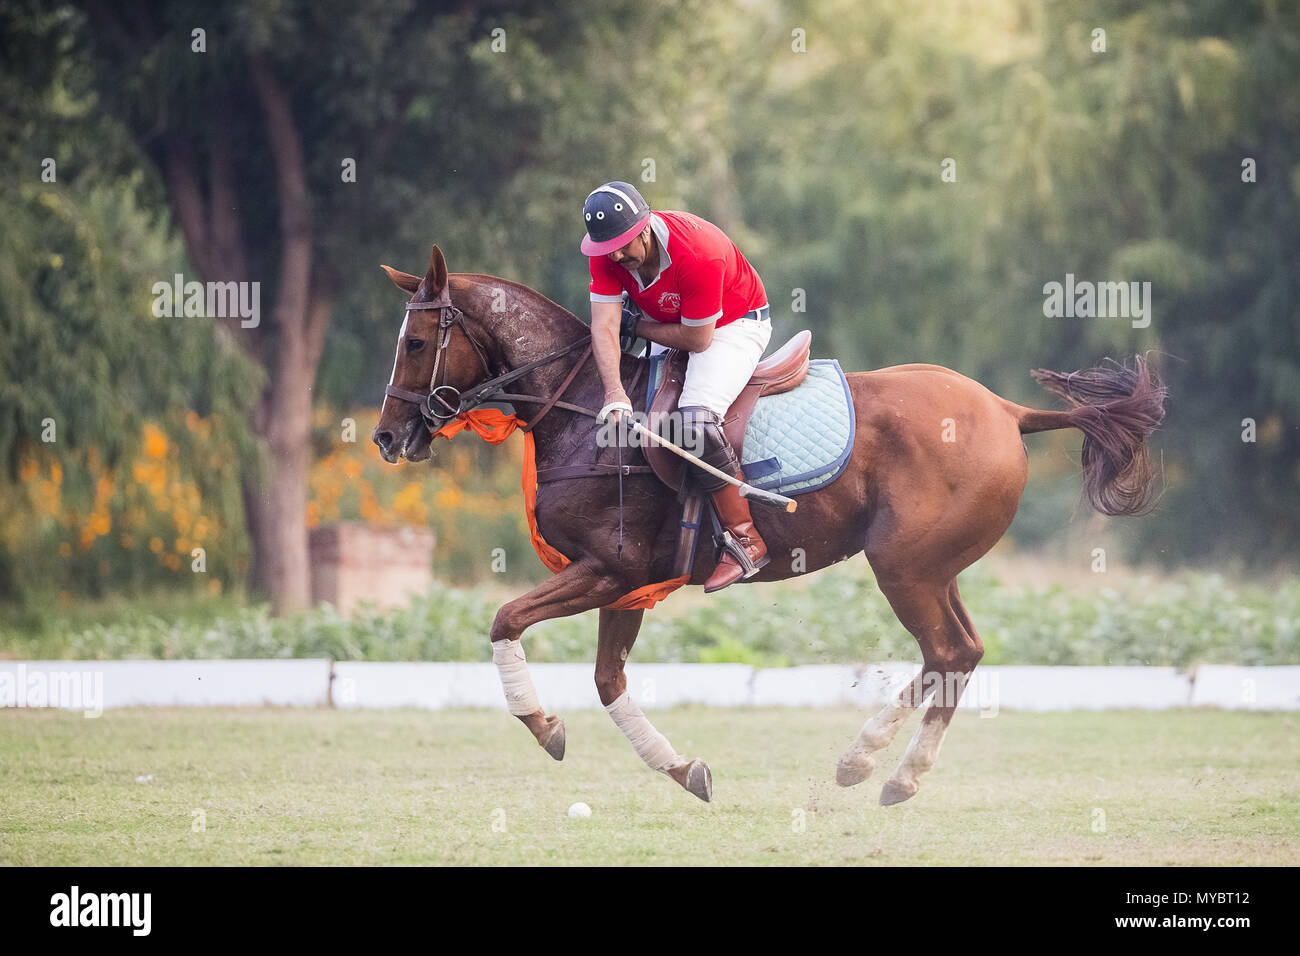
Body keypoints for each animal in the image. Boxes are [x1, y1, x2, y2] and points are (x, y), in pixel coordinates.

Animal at [372, 245, 1167, 805]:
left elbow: (507, 620)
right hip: (937, 566)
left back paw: (869, 764)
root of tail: (1008, 410)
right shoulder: (624, 583)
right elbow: (607, 679)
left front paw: (544, 728)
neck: (587, 409)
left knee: (946, 650)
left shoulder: (610, 570)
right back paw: (886, 769)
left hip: (904, 564)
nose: (386, 437)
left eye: (414, 342)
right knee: (962, 651)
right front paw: (684, 768)